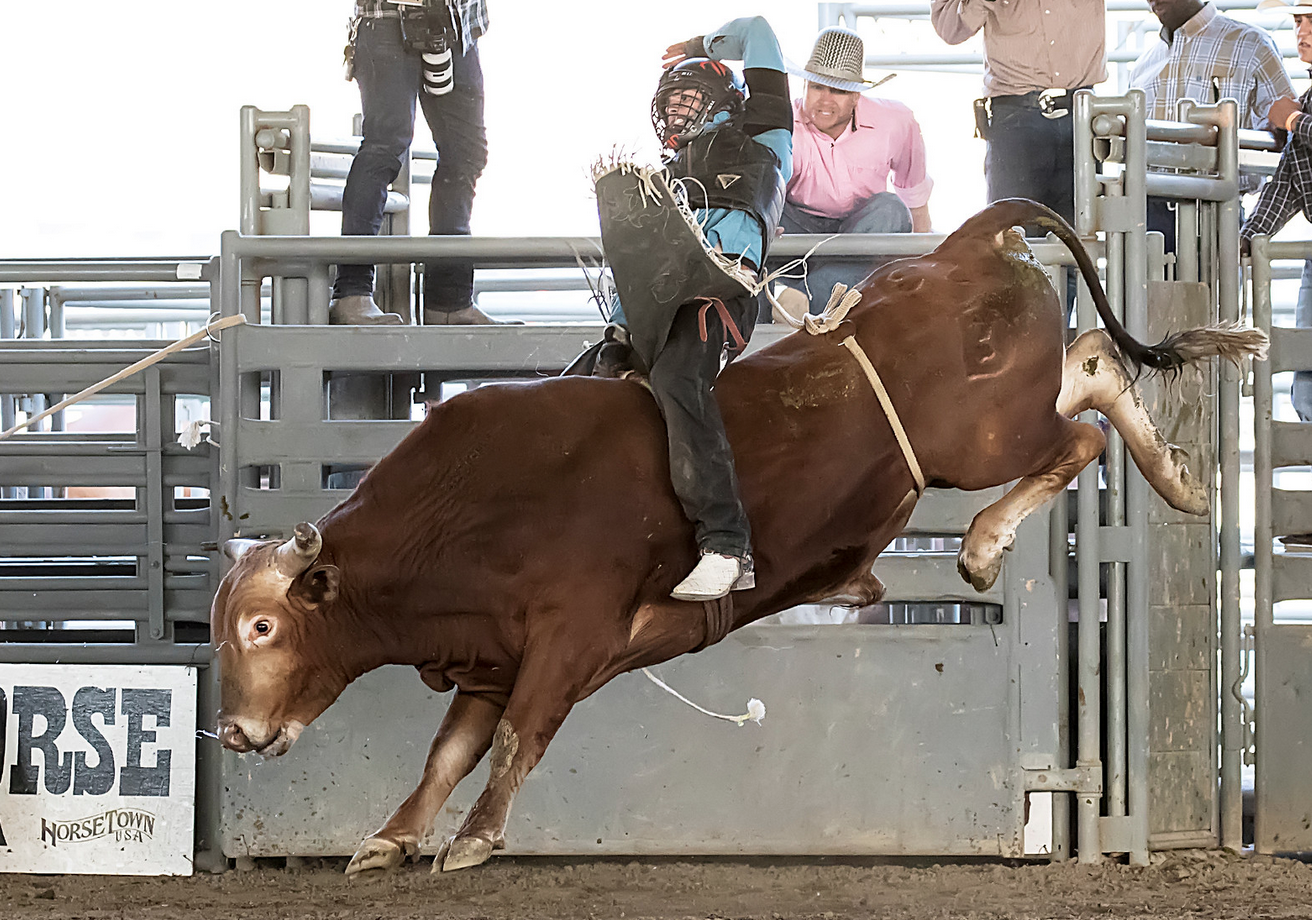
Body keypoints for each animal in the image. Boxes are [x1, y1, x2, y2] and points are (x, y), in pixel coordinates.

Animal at [211, 199, 1265, 875]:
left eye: (264, 628)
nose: (233, 731)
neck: (468, 511)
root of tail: (956, 249)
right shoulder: (490, 658)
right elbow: (448, 752)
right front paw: (391, 836)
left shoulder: (568, 638)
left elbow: (515, 740)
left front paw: (472, 840)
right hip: (1006, 413)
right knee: (1095, 368)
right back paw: (1180, 478)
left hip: (980, 441)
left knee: (1077, 433)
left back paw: (986, 545)